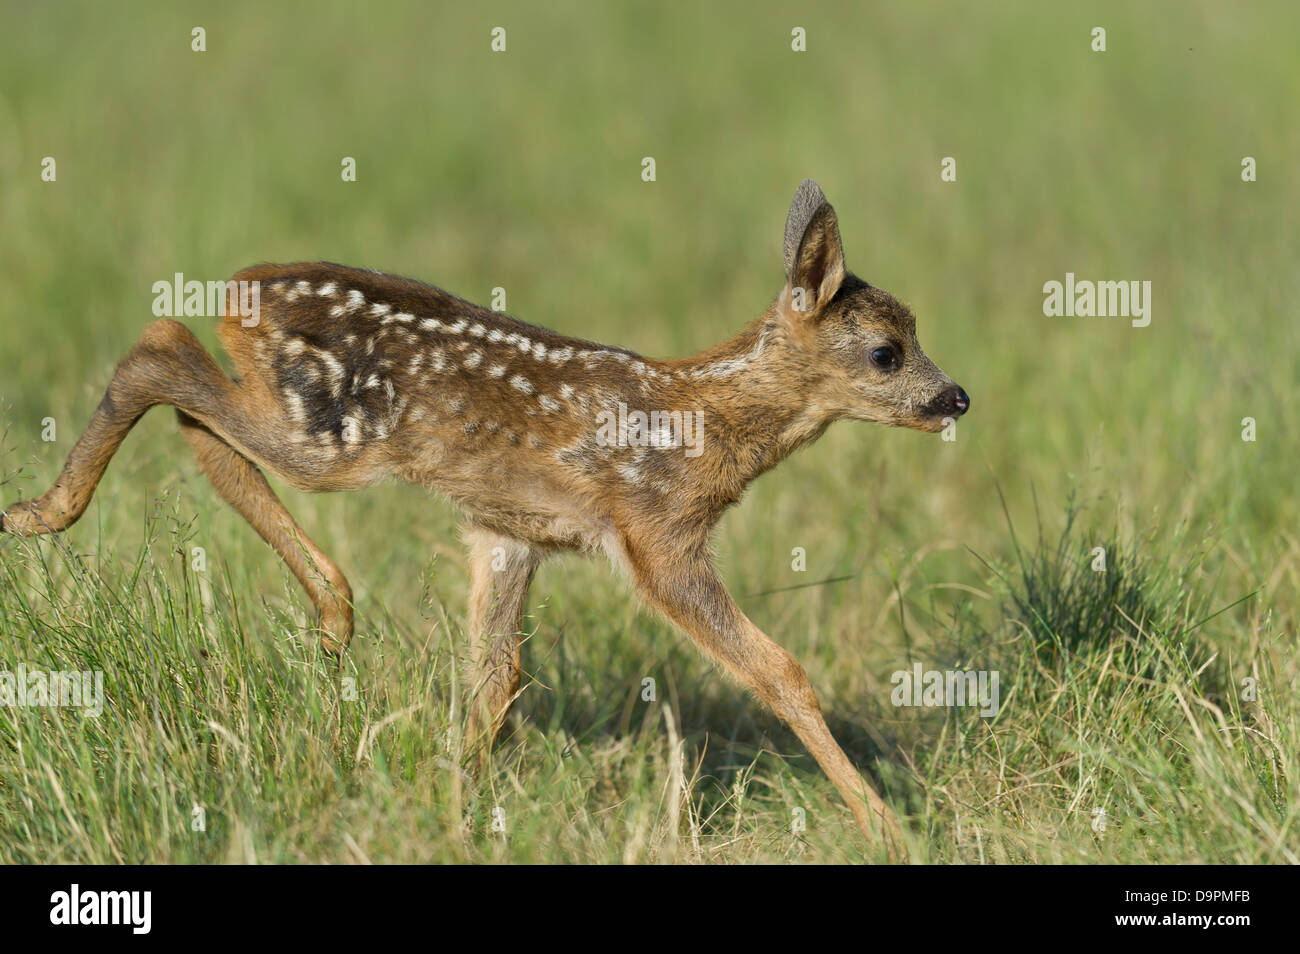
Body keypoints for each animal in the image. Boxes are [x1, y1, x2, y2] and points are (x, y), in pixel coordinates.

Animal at [1, 179, 968, 854]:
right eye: (886, 352)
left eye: (920, 329)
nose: (956, 396)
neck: (710, 421)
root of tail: (241, 287)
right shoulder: (657, 534)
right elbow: (780, 672)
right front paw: (891, 829)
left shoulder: (510, 534)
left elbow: (496, 681)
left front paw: (453, 809)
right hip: (334, 436)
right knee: (161, 349)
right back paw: (40, 515)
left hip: (306, 423)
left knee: (192, 410)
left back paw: (330, 609)